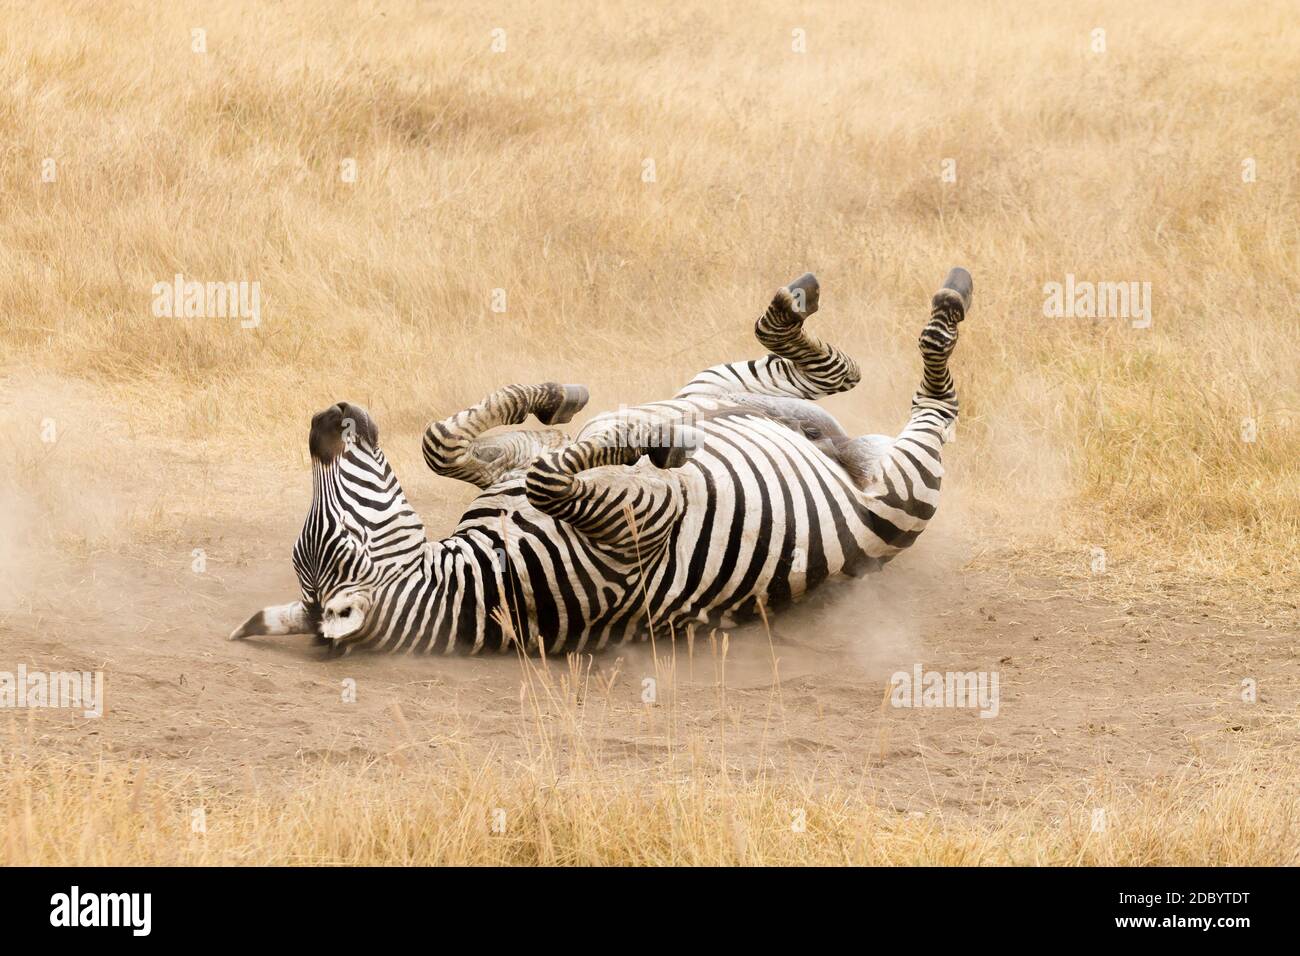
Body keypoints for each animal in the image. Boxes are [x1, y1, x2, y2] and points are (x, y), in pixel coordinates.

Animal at [229, 268, 973, 655]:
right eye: (343, 541)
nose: (322, 422)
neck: (488, 574)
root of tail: (851, 449)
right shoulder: (638, 527)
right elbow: (555, 475)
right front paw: (658, 442)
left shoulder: (508, 467)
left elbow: (444, 443)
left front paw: (558, 397)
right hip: (903, 484)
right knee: (935, 397)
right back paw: (943, 308)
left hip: (717, 383)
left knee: (820, 372)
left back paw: (793, 309)